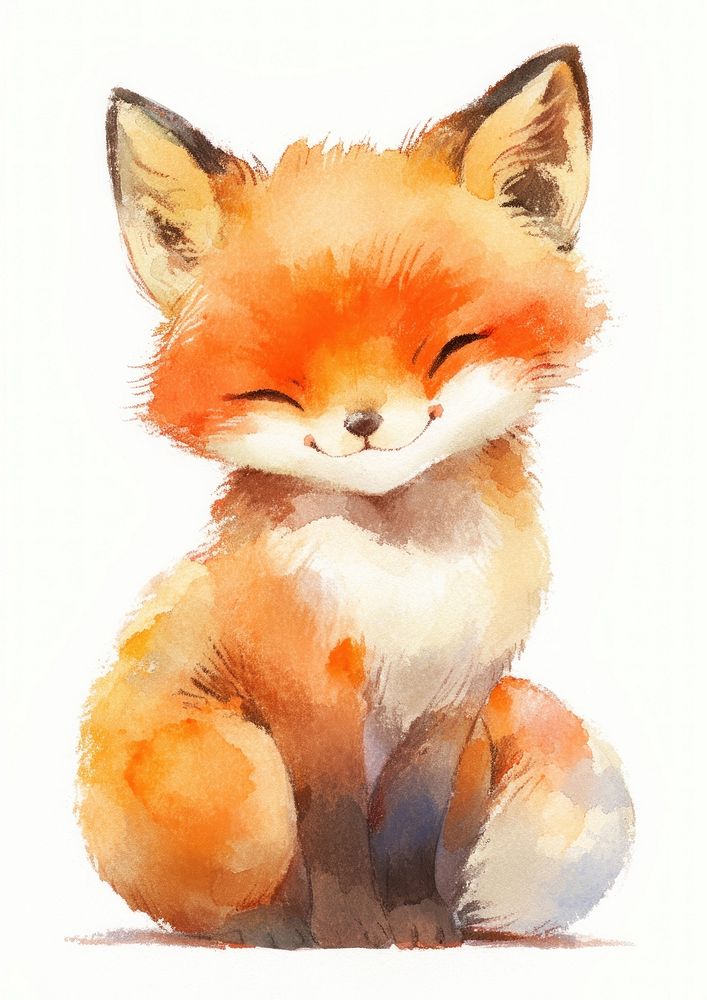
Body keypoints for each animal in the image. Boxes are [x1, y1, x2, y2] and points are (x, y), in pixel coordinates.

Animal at [78, 45, 634, 949]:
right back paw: (271, 929)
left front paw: (417, 927)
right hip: (235, 776)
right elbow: (332, 829)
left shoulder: (453, 700)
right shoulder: (307, 696)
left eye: (448, 346)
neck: (402, 578)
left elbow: (407, 829)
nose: (364, 423)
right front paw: (345, 932)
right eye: (275, 384)